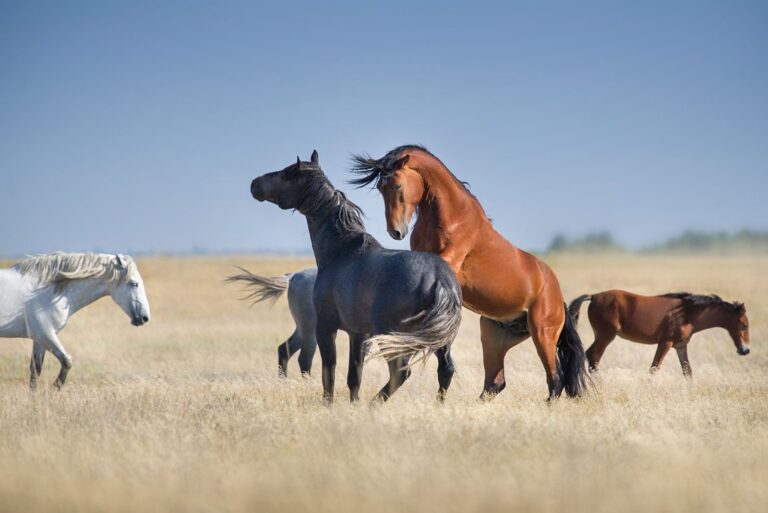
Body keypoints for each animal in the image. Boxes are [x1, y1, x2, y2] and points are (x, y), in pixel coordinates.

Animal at [0, 252, 151, 389]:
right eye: (134, 284)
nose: (145, 317)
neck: (47, 291)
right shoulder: (46, 335)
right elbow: (67, 361)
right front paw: (56, 387)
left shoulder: (39, 339)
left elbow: (35, 371)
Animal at [250, 150, 463, 403]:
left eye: (286, 174)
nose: (254, 184)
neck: (342, 251)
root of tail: (441, 280)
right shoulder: (358, 333)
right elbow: (354, 375)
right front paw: (353, 404)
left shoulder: (326, 327)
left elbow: (329, 370)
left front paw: (329, 404)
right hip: (440, 340)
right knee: (446, 370)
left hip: (390, 337)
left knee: (400, 372)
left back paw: (374, 404)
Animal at [351, 145, 588, 400]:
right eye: (380, 188)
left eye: (397, 185)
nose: (395, 231)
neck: (450, 216)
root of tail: (558, 298)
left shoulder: (450, 261)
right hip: (494, 336)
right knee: (495, 382)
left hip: (543, 333)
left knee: (555, 379)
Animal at [568, 291, 750, 377]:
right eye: (744, 325)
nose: (745, 350)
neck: (687, 313)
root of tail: (594, 296)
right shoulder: (665, 343)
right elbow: (654, 368)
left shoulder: (680, 346)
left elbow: (688, 371)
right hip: (605, 336)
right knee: (593, 356)